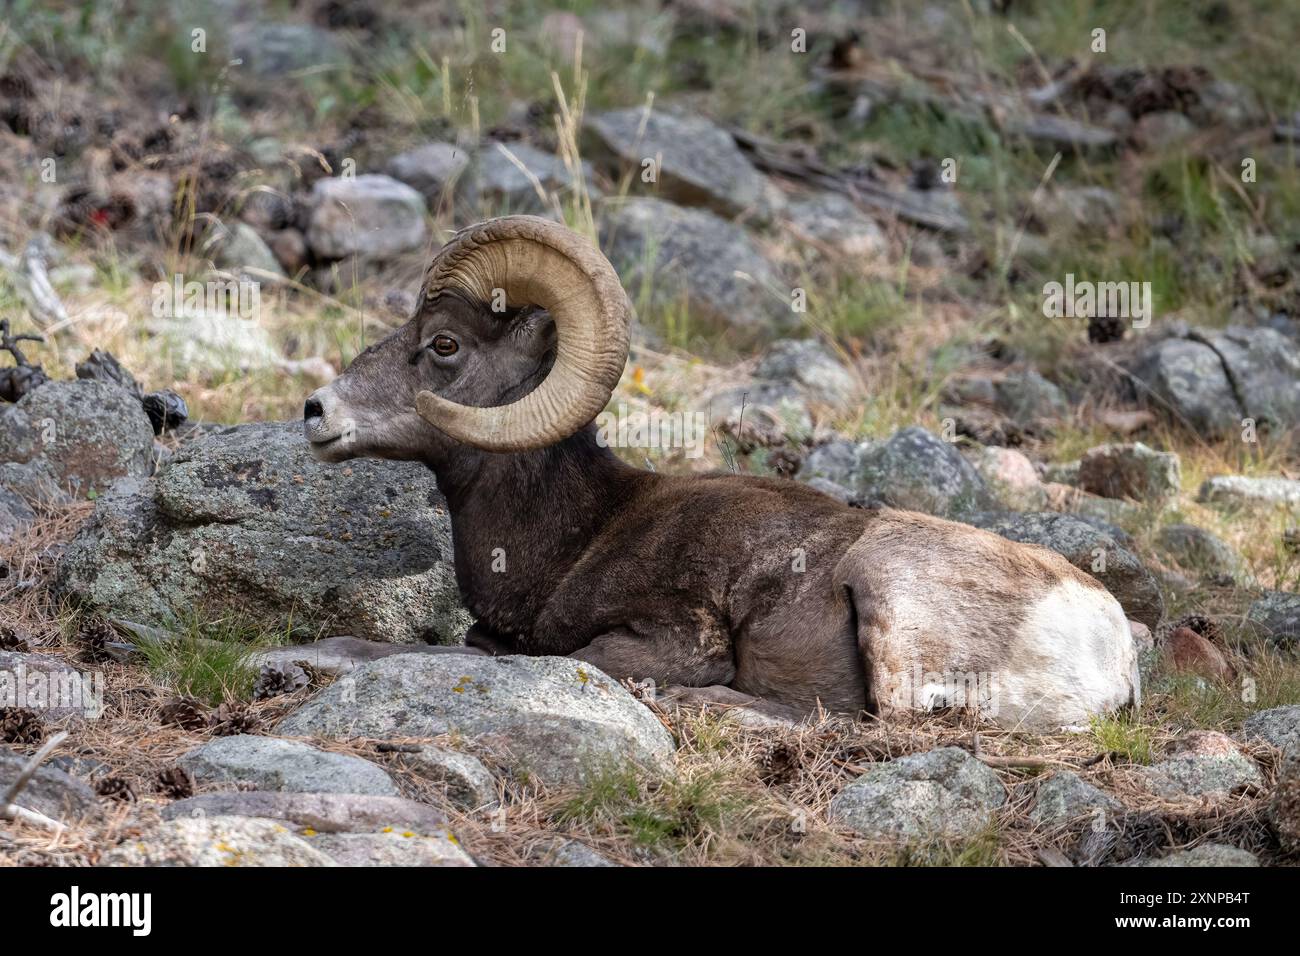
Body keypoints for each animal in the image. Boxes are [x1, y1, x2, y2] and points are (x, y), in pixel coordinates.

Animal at [303, 215, 1139, 730]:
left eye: (444, 345)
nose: (316, 410)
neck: (576, 534)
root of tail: (1113, 648)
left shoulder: (672, 638)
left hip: (887, 587)